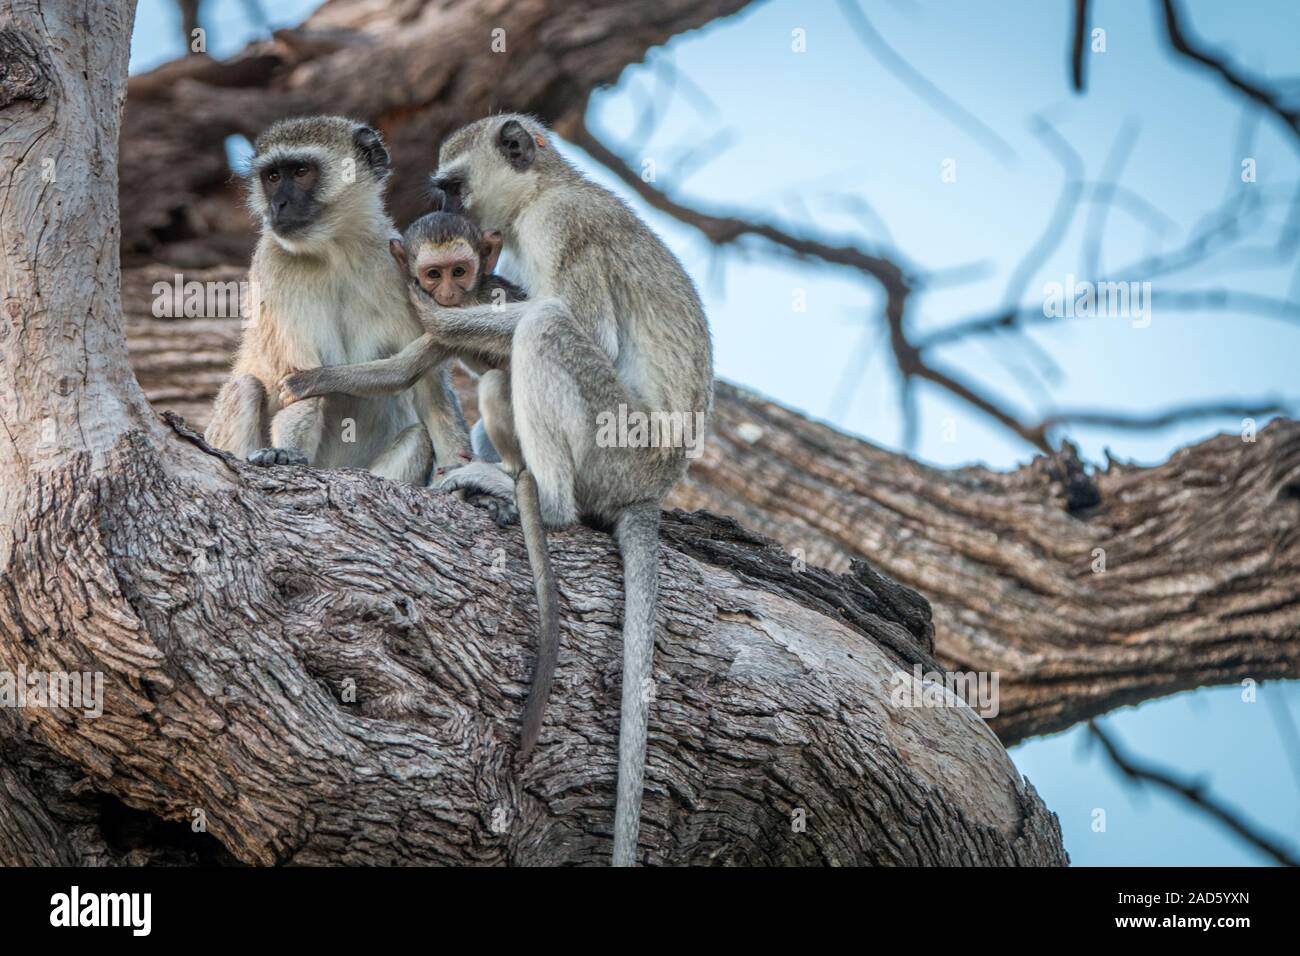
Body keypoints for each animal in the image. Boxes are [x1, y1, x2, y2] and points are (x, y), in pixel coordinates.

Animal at [203, 115, 477, 488]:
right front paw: (284, 453)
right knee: (245, 385)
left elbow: (428, 384)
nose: (277, 205)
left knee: (419, 437)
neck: (335, 250)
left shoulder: (406, 274)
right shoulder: (274, 265)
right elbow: (298, 375)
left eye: (300, 171)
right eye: (272, 177)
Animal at [279, 205, 561, 764]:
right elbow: (404, 370)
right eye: (434, 274)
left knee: (500, 382)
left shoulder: (476, 308)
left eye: (459, 271)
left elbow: (400, 370)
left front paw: (312, 380)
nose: (446, 293)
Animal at [351, 115, 712, 865]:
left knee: (547, 330)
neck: (549, 185)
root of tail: (654, 485)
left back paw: (542, 501)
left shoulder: (560, 228)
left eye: (451, 185)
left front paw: (436, 315)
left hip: (617, 446)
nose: (448, 211)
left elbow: (572, 323)